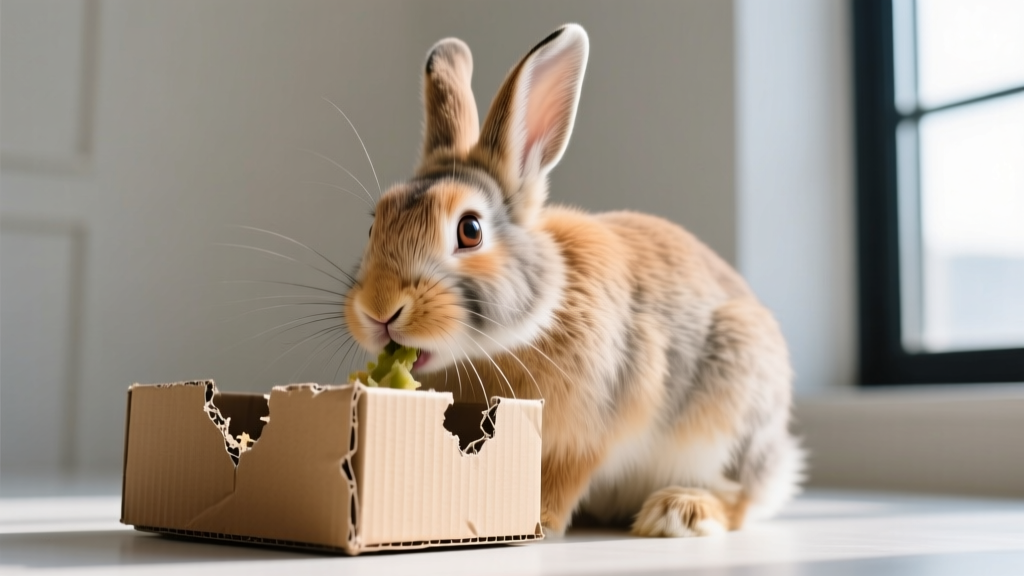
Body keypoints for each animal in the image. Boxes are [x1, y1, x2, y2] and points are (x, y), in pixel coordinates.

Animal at [344, 23, 804, 537]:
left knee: (742, 498)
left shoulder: (587, 431)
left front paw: (537, 519)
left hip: (734, 417)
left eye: (470, 230)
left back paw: (678, 511)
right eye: (373, 225)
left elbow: (562, 476)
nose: (379, 310)